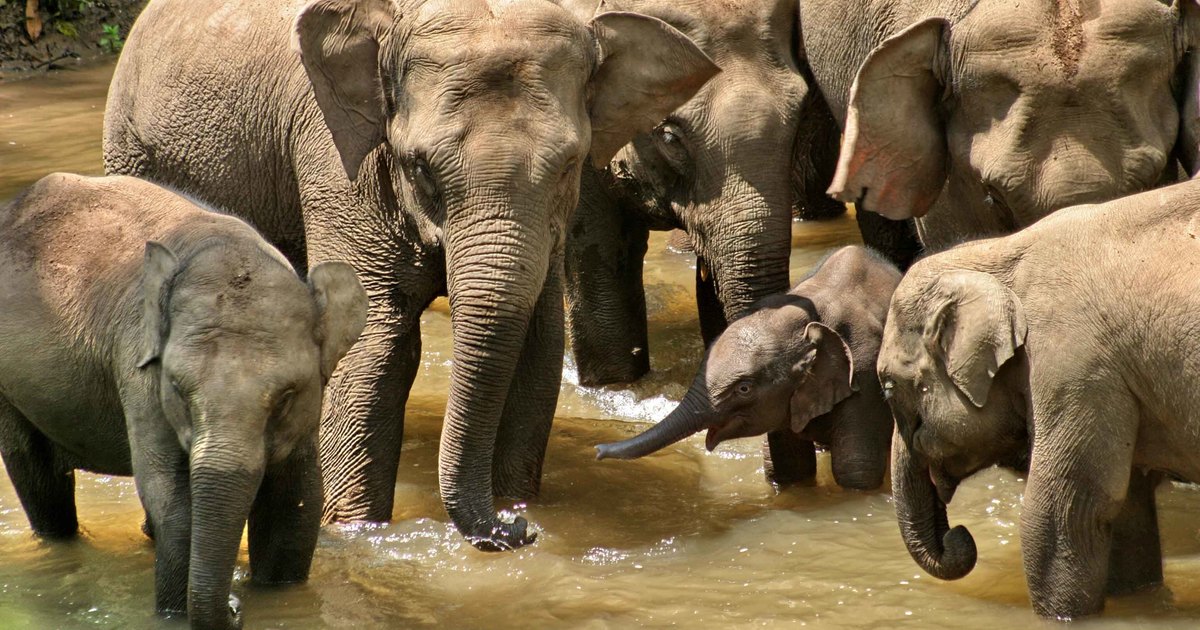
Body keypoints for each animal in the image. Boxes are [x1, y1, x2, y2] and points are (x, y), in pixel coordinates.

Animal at [0, 173, 367, 629]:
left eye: (285, 396)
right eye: (176, 387)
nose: (236, 607)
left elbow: (295, 502)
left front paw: (277, 597)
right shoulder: (137, 368)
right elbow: (170, 498)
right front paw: (176, 614)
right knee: (37, 477)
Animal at [102, 0, 718, 551]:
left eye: (569, 165)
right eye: (420, 167)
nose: (518, 530)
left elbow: (537, 348)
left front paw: (519, 503)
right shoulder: (334, 157)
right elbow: (375, 350)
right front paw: (356, 531)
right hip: (132, 147)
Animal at [876, 178, 1200, 619]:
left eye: (887, 387)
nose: (959, 536)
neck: (999, 253)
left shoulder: (1074, 367)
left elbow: (1061, 514)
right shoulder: (1110, 381)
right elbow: (1126, 510)